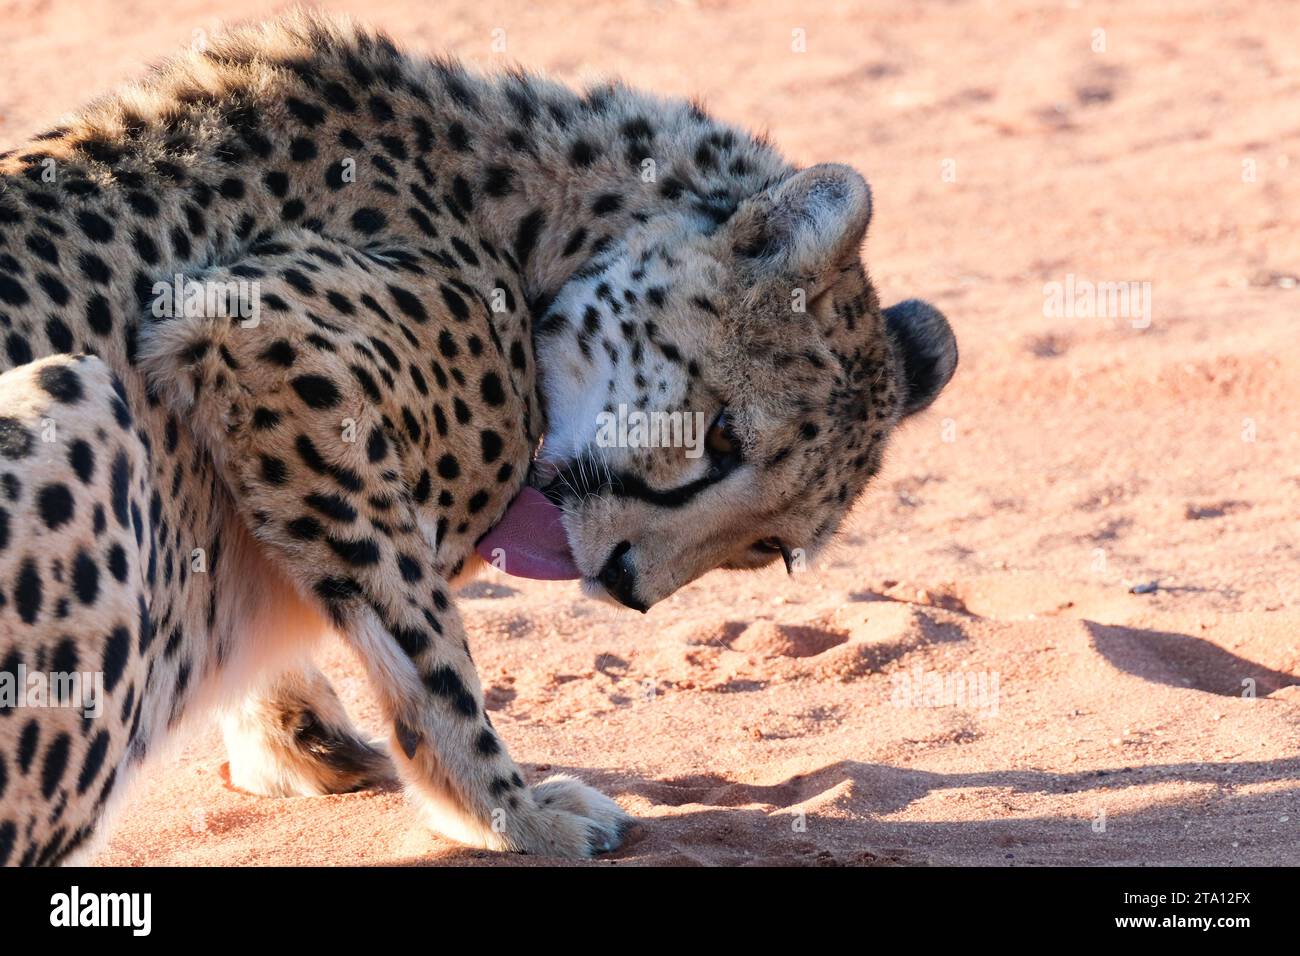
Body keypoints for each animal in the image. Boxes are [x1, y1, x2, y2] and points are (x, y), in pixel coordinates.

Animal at [0, 11, 956, 865]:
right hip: (81, 401)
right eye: (720, 438)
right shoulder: (266, 337)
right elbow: (429, 651)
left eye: (767, 547)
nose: (627, 584)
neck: (531, 224)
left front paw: (299, 739)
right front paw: (510, 813)